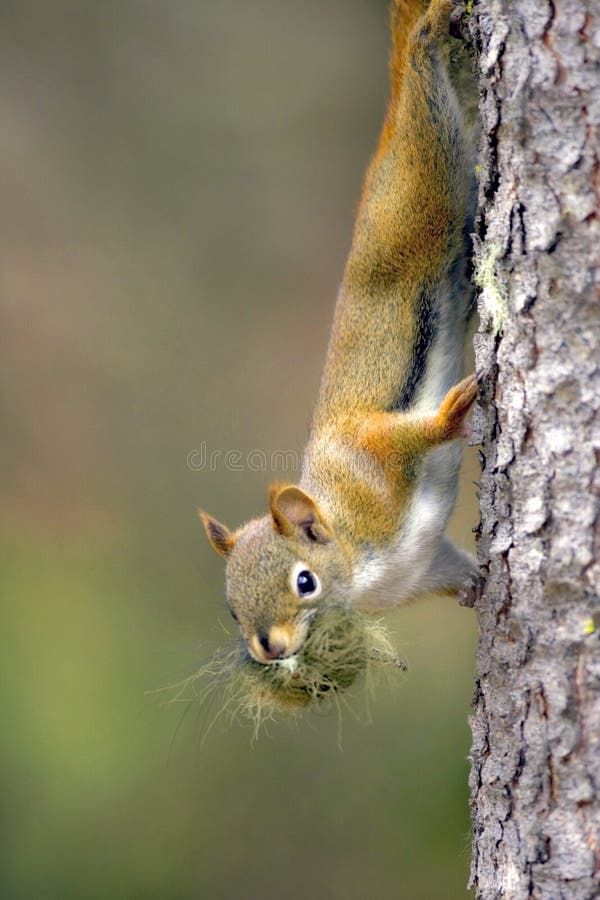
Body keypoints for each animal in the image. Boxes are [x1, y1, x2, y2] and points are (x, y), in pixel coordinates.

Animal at [200, 0, 479, 666]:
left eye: (304, 581)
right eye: (231, 607)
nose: (268, 649)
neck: (357, 558)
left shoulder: (366, 457)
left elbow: (402, 435)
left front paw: (449, 415)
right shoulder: (425, 566)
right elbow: (459, 570)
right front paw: (483, 590)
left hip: (424, 183)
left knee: (424, 86)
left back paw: (430, 32)